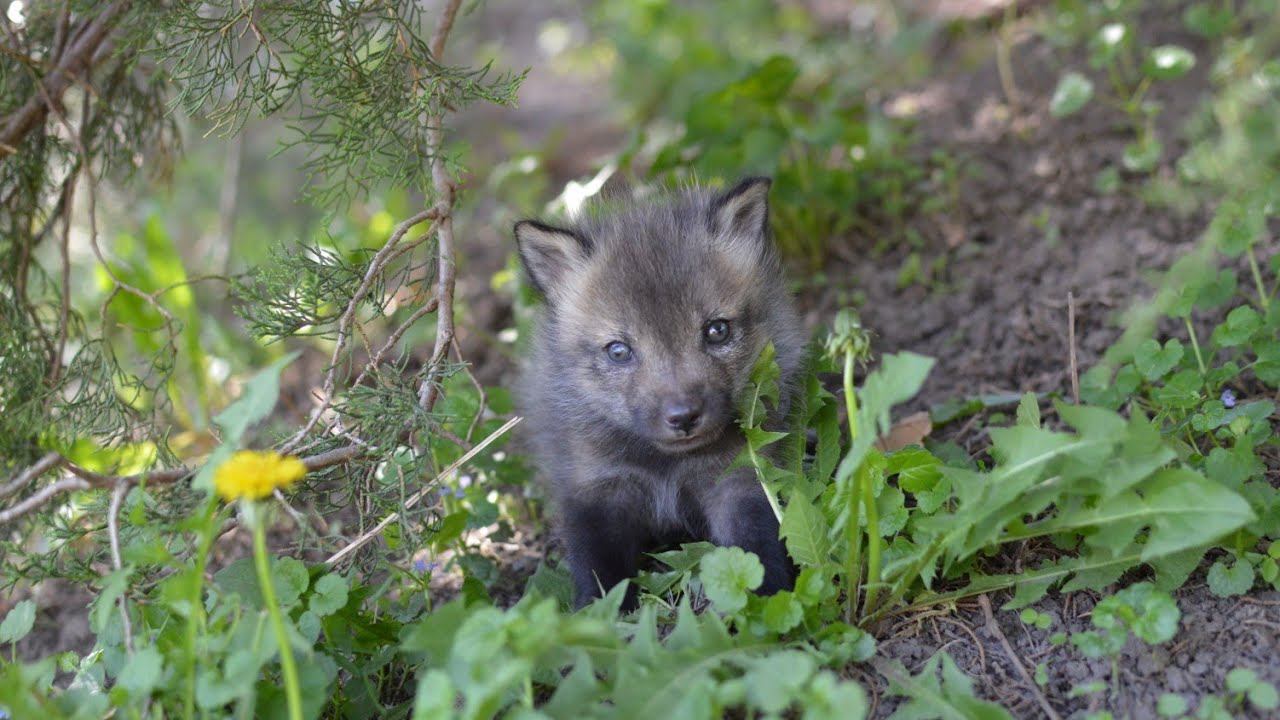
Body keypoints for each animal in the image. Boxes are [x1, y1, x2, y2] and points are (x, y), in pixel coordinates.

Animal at [513, 177, 806, 610]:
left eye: (717, 330)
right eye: (619, 351)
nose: (683, 416)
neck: (667, 468)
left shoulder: (739, 480)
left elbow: (756, 552)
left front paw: (766, 605)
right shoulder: (596, 486)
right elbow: (599, 570)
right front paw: (599, 617)